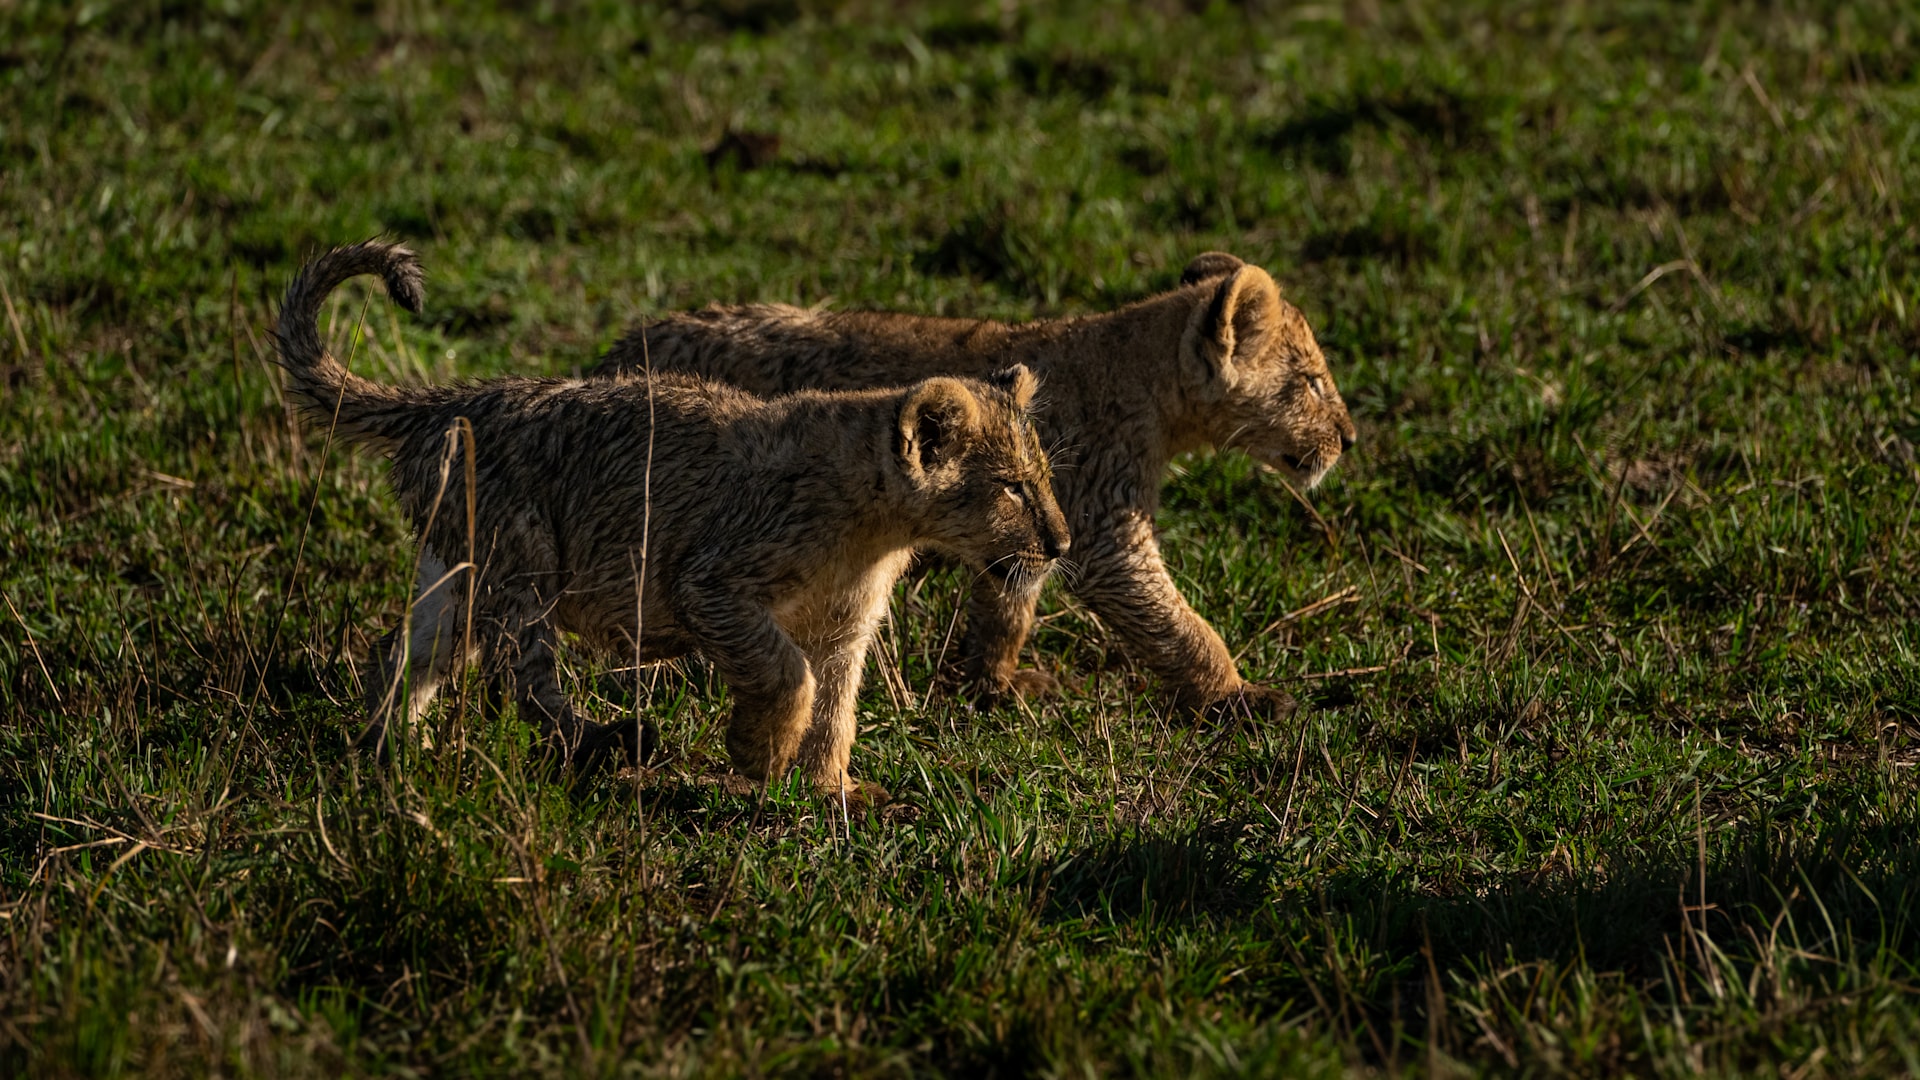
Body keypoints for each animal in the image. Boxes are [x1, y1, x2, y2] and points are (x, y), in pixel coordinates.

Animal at [273, 240, 1068, 802]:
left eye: (1043, 480)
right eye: (1011, 490)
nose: (1060, 544)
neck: (877, 528)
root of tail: (445, 401)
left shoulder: (846, 623)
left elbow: (836, 703)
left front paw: (832, 790)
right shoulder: (711, 582)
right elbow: (788, 671)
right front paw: (760, 752)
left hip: (460, 568)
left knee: (405, 654)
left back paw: (389, 754)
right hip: (523, 555)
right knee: (521, 674)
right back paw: (606, 744)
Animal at [594, 253, 1354, 721]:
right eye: (1313, 382)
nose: (1348, 438)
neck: (1149, 385)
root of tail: (616, 351)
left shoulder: (1025, 528)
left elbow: (1005, 607)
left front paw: (992, 684)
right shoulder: (1106, 533)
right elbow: (1179, 625)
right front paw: (1239, 697)